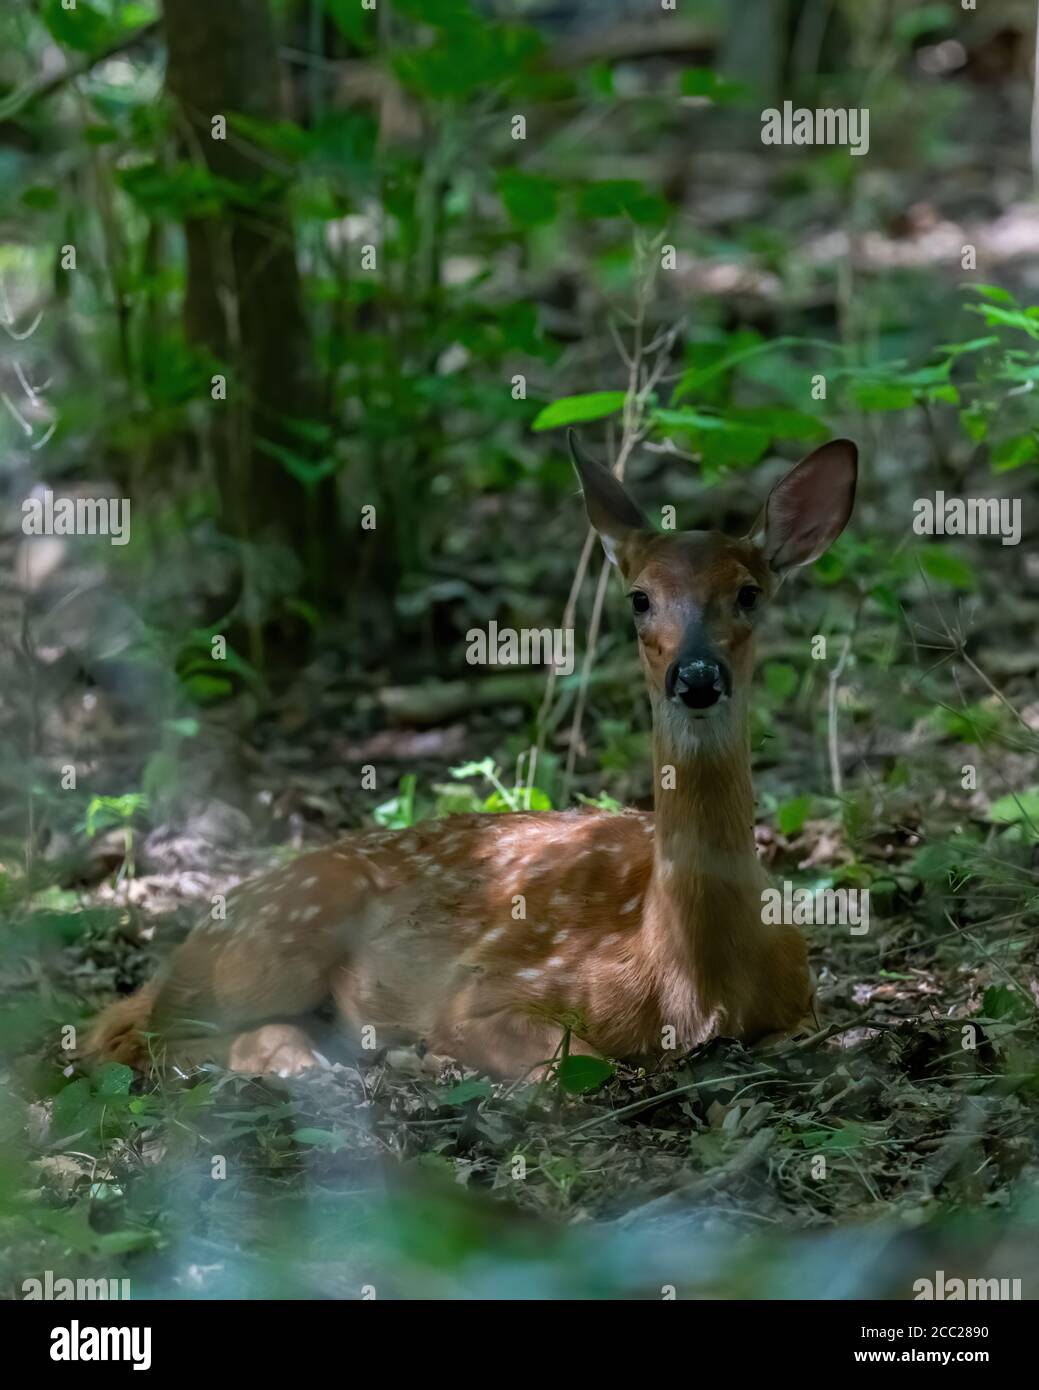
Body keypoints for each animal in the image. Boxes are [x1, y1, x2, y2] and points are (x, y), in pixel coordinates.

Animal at [87, 432, 857, 1080]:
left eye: (749, 593)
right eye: (639, 598)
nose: (695, 677)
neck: (689, 979)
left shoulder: (803, 1002)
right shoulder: (482, 989)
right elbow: (572, 1066)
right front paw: (431, 1052)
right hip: (280, 934)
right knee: (143, 1034)